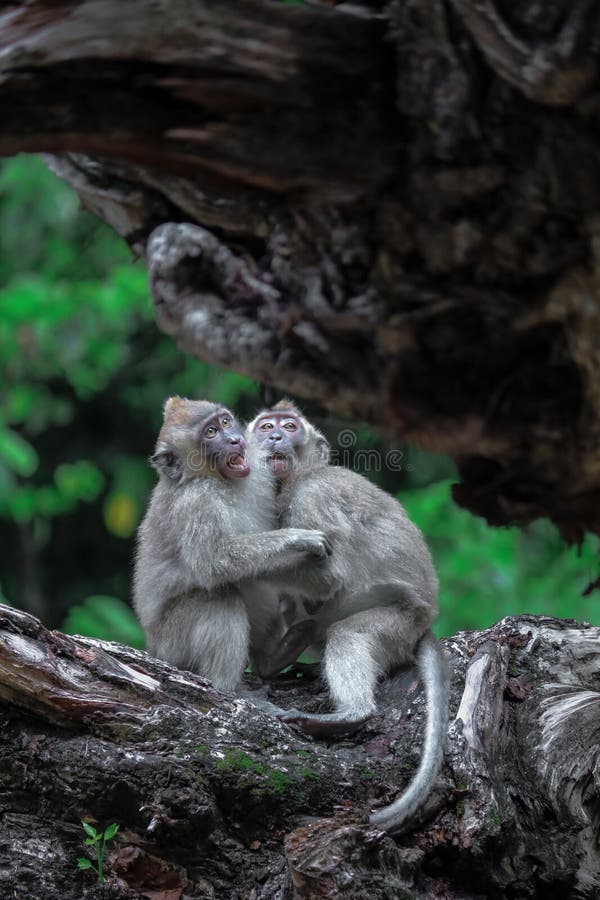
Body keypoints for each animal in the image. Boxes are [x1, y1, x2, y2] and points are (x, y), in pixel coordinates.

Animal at [133, 397, 332, 694]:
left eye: (225, 422)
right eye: (211, 432)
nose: (234, 440)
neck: (218, 479)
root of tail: (153, 648)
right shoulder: (196, 502)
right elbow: (215, 562)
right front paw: (298, 538)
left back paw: (270, 660)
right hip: (172, 646)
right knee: (218, 598)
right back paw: (225, 688)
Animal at [245, 400, 449, 833]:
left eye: (290, 427)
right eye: (266, 427)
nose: (276, 435)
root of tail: (425, 621)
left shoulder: (312, 497)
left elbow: (330, 576)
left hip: (398, 623)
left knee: (347, 634)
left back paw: (350, 713)